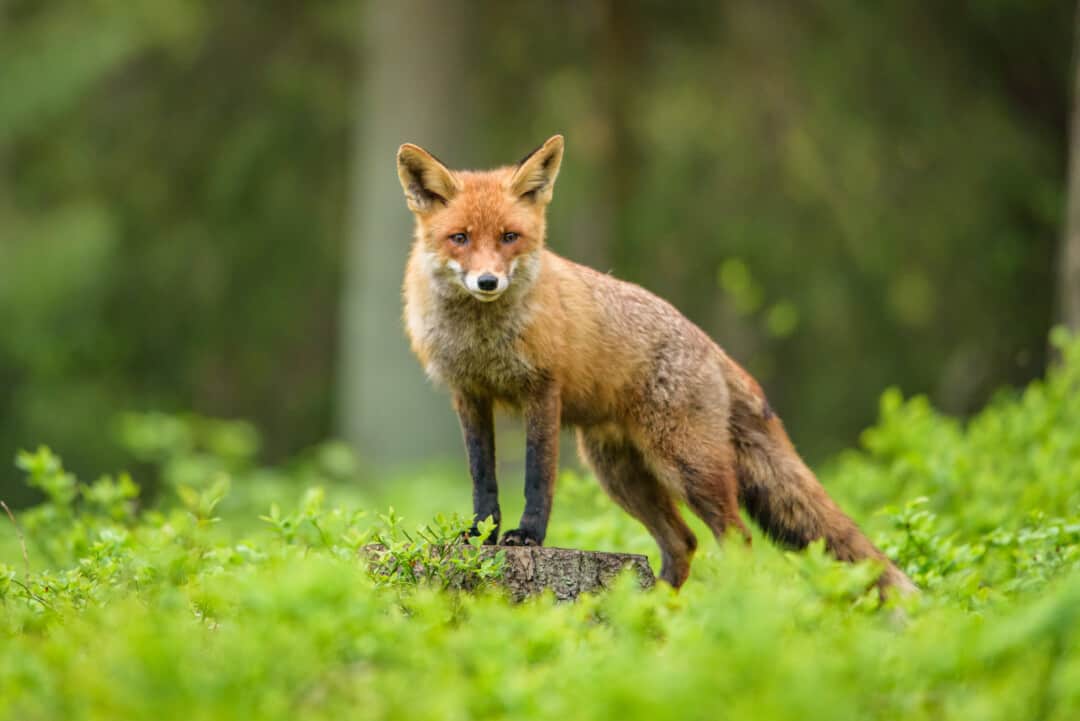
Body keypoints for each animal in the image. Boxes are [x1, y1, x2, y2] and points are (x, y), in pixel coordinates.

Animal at [396, 134, 917, 596]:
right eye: (459, 238)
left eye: (509, 237)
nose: (487, 282)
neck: (482, 338)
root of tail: (708, 342)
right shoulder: (468, 394)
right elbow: (481, 475)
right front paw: (481, 534)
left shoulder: (542, 390)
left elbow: (537, 477)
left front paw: (527, 536)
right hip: (620, 474)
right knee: (683, 543)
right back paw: (650, 610)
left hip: (684, 464)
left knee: (737, 537)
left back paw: (733, 610)